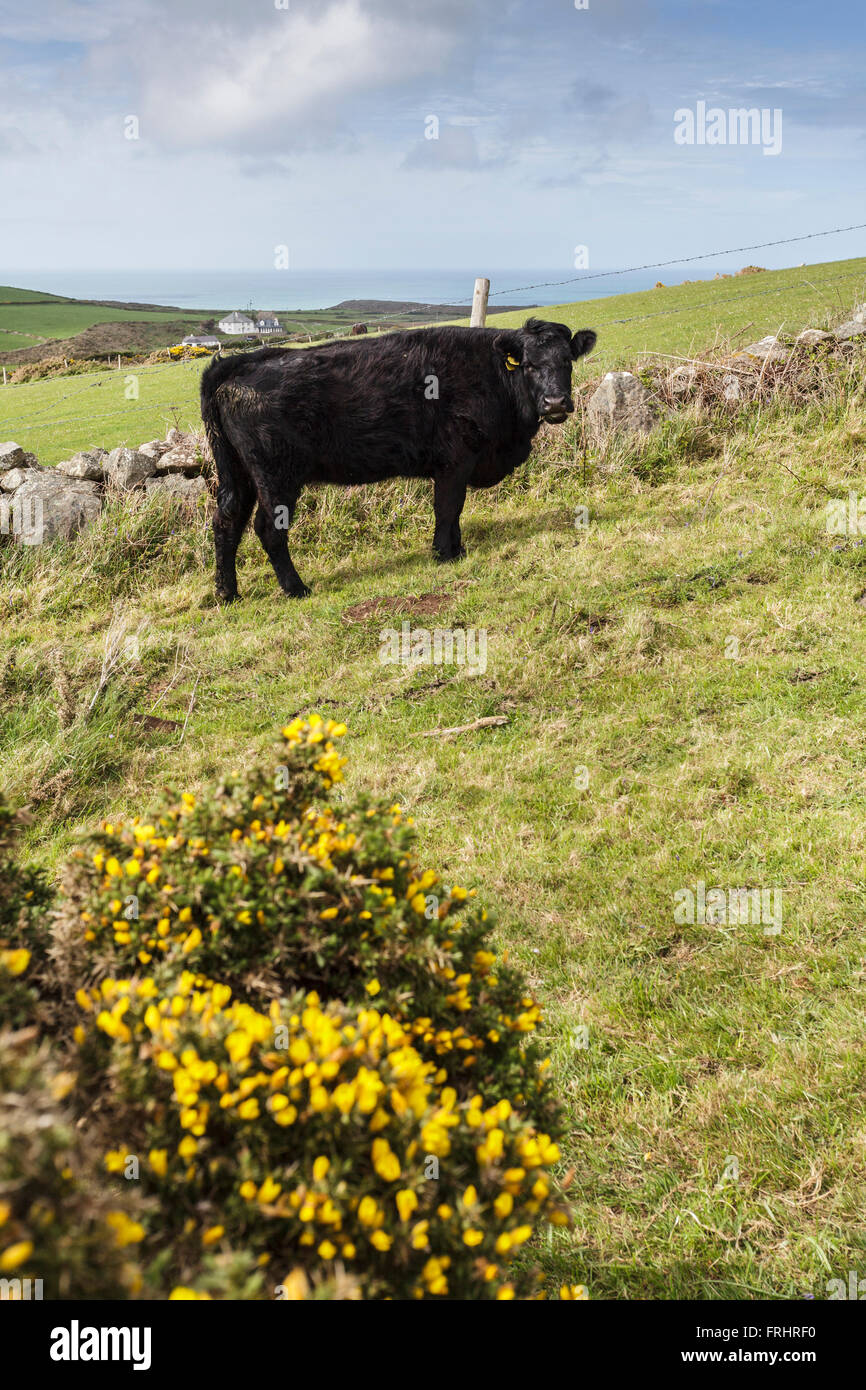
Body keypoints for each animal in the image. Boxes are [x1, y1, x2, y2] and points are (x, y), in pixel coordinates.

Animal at [200, 317, 597, 601]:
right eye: (528, 364)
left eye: (567, 361)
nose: (556, 403)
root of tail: (239, 363)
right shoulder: (455, 461)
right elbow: (448, 507)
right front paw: (445, 553)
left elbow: (454, 510)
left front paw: (456, 549)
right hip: (277, 477)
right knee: (268, 528)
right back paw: (296, 588)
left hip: (239, 475)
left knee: (227, 521)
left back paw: (228, 593)